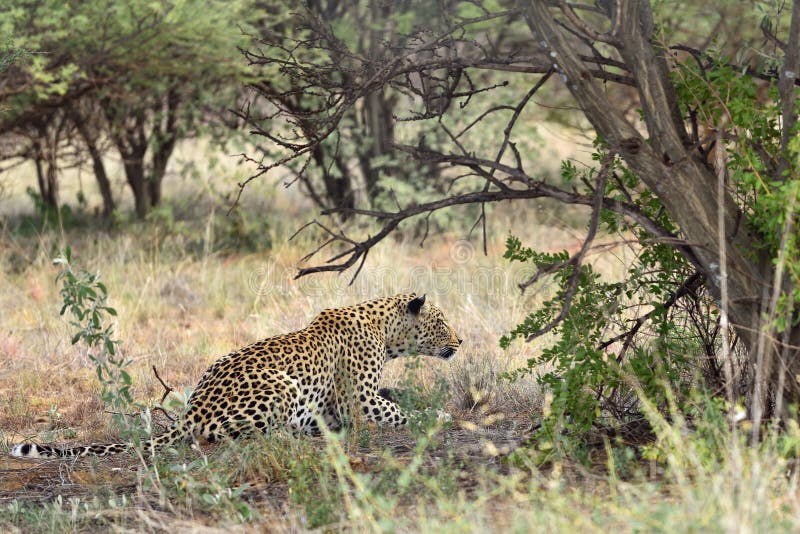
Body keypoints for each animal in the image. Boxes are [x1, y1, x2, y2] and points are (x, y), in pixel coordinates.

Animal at [10, 293, 462, 458]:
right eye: (442, 322)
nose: (460, 340)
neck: (384, 330)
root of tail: (191, 412)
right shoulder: (360, 401)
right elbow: (397, 412)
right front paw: (437, 416)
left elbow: (398, 398)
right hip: (281, 384)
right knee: (238, 435)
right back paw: (300, 433)